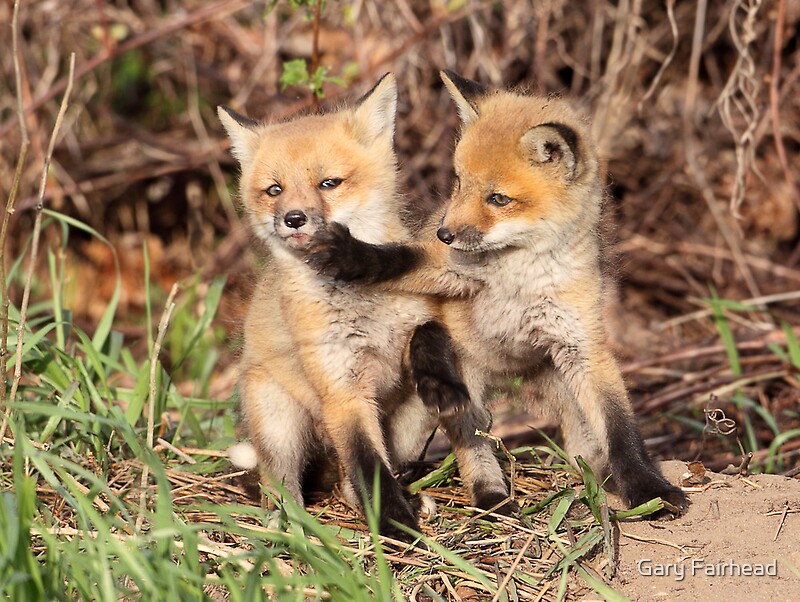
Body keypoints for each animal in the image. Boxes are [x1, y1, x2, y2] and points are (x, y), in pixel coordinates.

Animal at [217, 74, 495, 540]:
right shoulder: (342, 393)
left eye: (329, 183)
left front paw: (441, 383)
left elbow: (429, 333)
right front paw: (397, 528)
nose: (293, 218)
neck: (363, 304)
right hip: (279, 421)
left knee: (355, 478)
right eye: (274, 190)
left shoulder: (424, 309)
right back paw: (288, 523)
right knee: (284, 480)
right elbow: (368, 466)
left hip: (408, 424)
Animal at [307, 71, 689, 517]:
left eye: (499, 198)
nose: (444, 233)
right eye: (458, 181)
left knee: (582, 441)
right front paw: (349, 254)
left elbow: (621, 430)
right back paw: (489, 494)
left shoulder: (583, 345)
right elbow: (397, 259)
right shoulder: (447, 270)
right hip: (464, 381)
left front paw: (647, 489)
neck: (518, 278)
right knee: (464, 433)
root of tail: (507, 375)